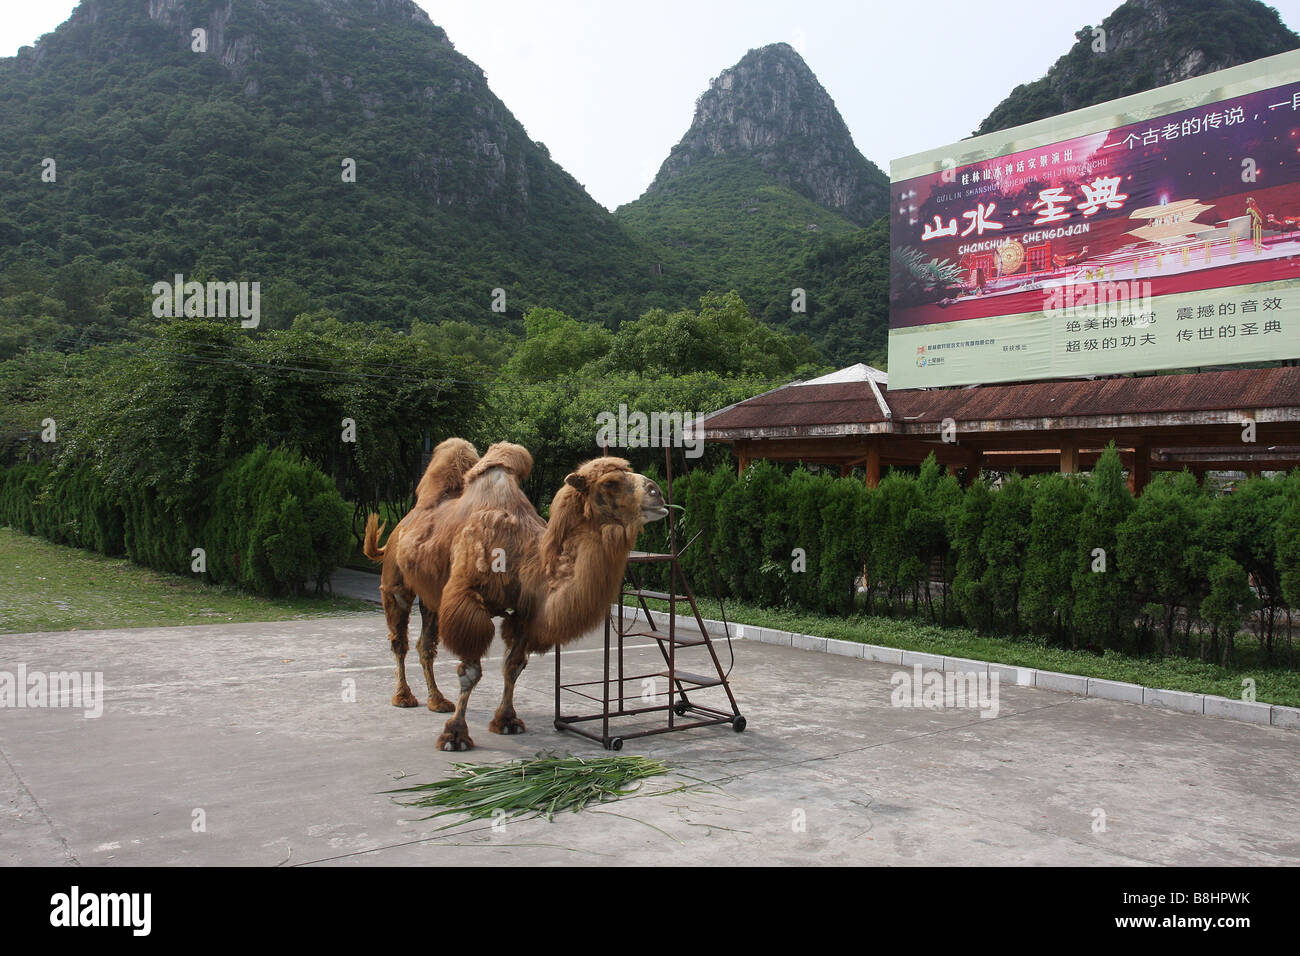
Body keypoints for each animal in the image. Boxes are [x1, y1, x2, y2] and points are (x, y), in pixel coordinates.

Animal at [363, 437, 667, 751]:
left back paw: (437, 701)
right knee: (399, 641)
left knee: (425, 645)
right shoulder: (466, 601)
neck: (525, 559)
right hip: (396, 584)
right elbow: (470, 672)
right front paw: (455, 736)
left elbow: (514, 666)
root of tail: (401, 526)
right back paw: (404, 697)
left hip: (431, 598)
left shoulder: (524, 614)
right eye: (609, 482)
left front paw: (507, 721)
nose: (657, 492)